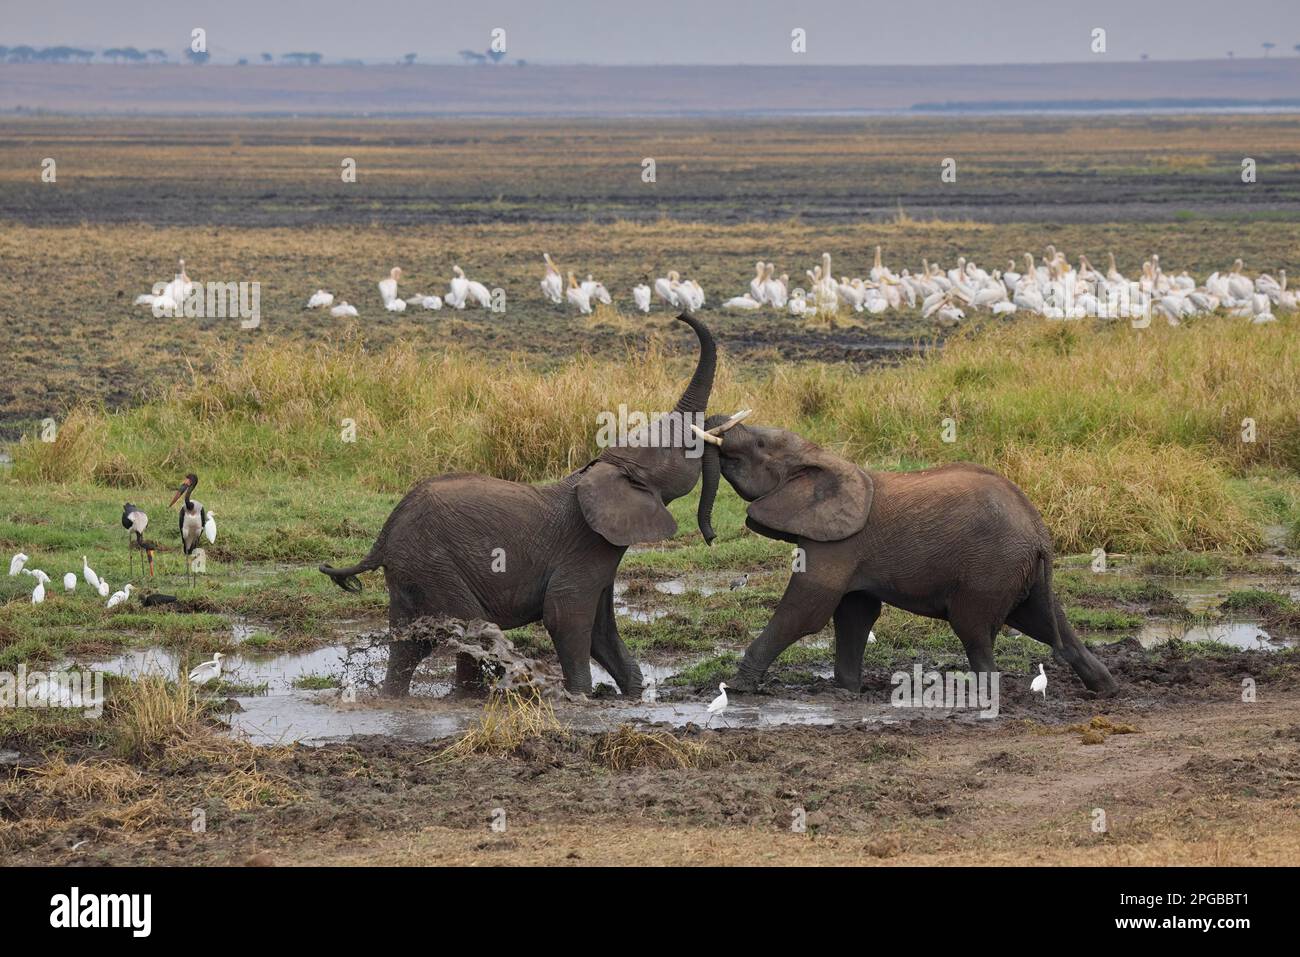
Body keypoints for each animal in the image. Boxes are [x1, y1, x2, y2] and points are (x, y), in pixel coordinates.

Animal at [321, 314, 722, 697]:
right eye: (683, 446)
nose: (679, 315)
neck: (601, 468)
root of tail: (385, 533)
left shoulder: (603, 552)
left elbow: (600, 630)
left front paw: (633, 697)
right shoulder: (585, 547)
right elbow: (566, 616)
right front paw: (580, 698)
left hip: (412, 572)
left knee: (411, 646)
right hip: (433, 565)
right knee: (472, 630)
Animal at [693, 416, 1119, 696]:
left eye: (760, 446)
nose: (710, 536)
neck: (823, 457)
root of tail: (1040, 533)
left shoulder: (839, 543)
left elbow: (806, 608)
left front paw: (737, 687)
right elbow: (855, 613)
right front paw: (847, 691)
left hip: (991, 568)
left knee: (975, 630)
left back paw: (984, 697)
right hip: (1021, 573)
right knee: (1047, 621)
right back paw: (1106, 689)